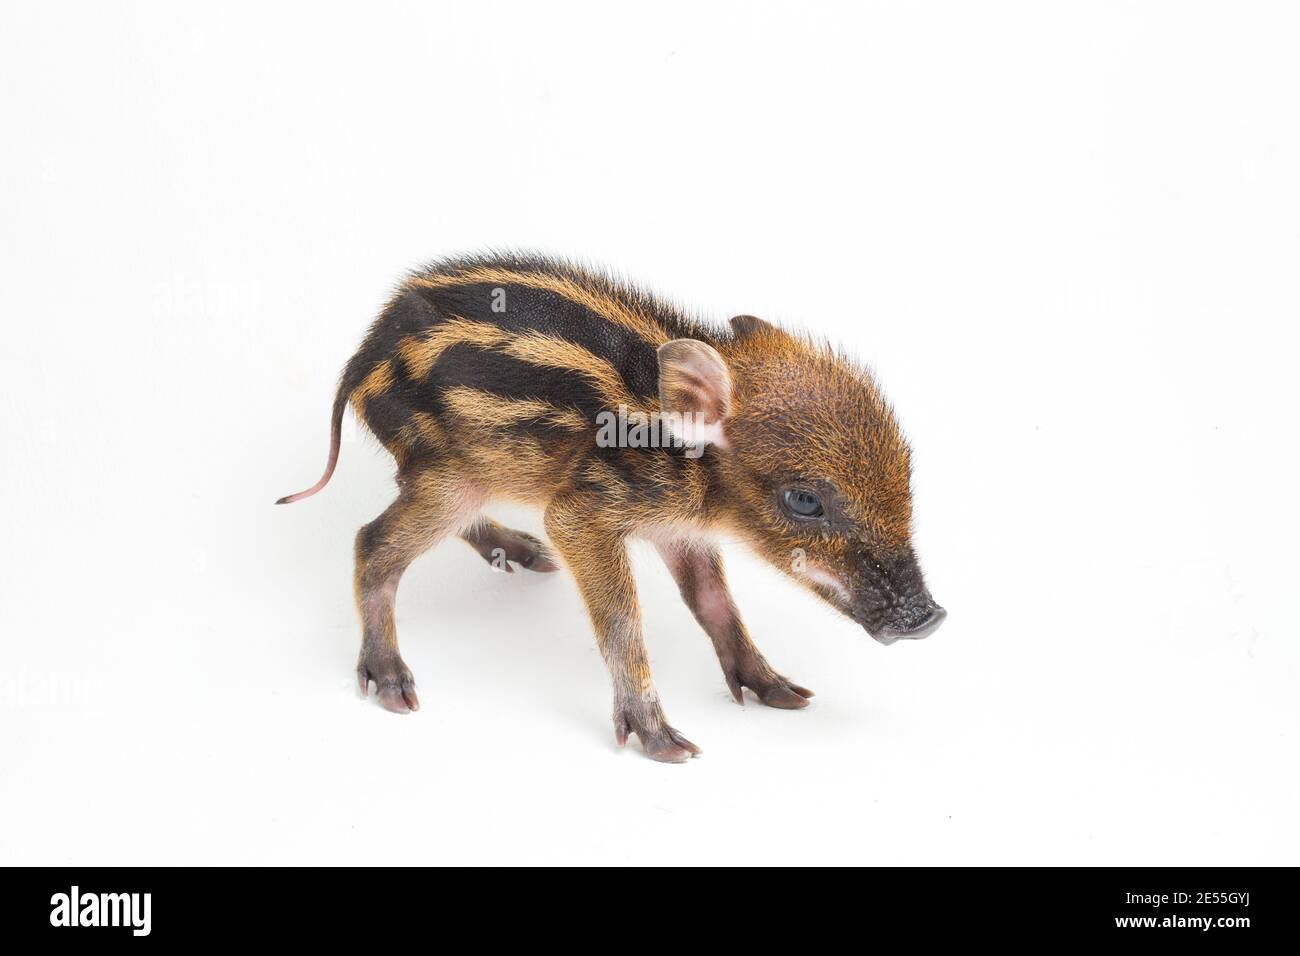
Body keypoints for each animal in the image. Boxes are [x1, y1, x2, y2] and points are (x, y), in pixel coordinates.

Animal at [278, 254, 945, 762]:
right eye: (804, 500)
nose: (930, 619)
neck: (684, 458)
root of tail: (362, 356)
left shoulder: (679, 530)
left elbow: (714, 604)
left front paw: (779, 691)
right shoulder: (584, 515)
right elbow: (623, 623)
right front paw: (664, 742)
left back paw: (525, 554)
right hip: (450, 474)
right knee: (372, 543)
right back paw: (392, 683)